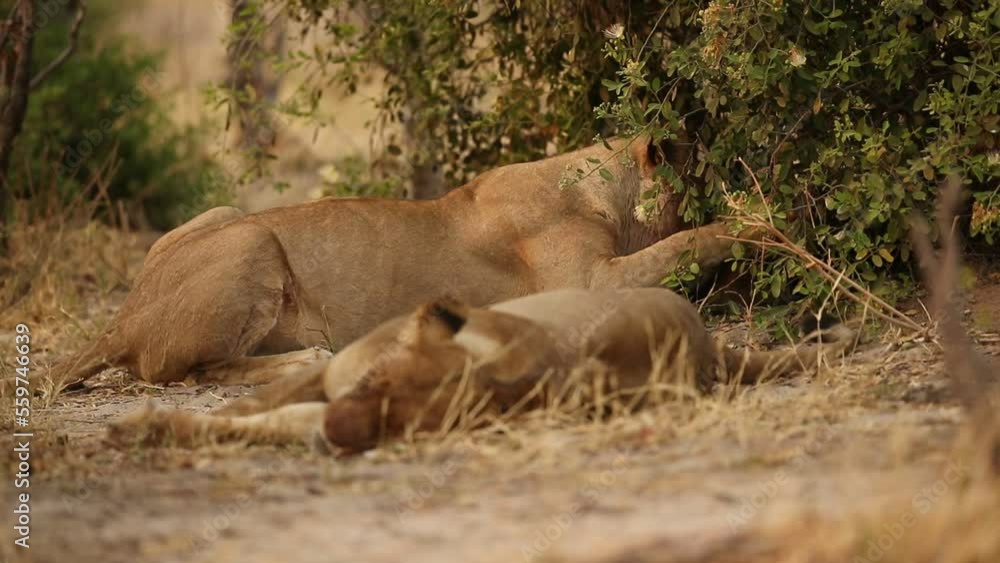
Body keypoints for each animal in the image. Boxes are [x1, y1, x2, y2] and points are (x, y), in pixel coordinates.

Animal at [32, 135, 756, 392]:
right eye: (704, 167)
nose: (730, 174)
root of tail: (119, 319)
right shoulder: (589, 282)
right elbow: (684, 244)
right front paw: (755, 220)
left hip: (221, 217)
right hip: (252, 244)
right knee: (186, 370)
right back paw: (305, 358)